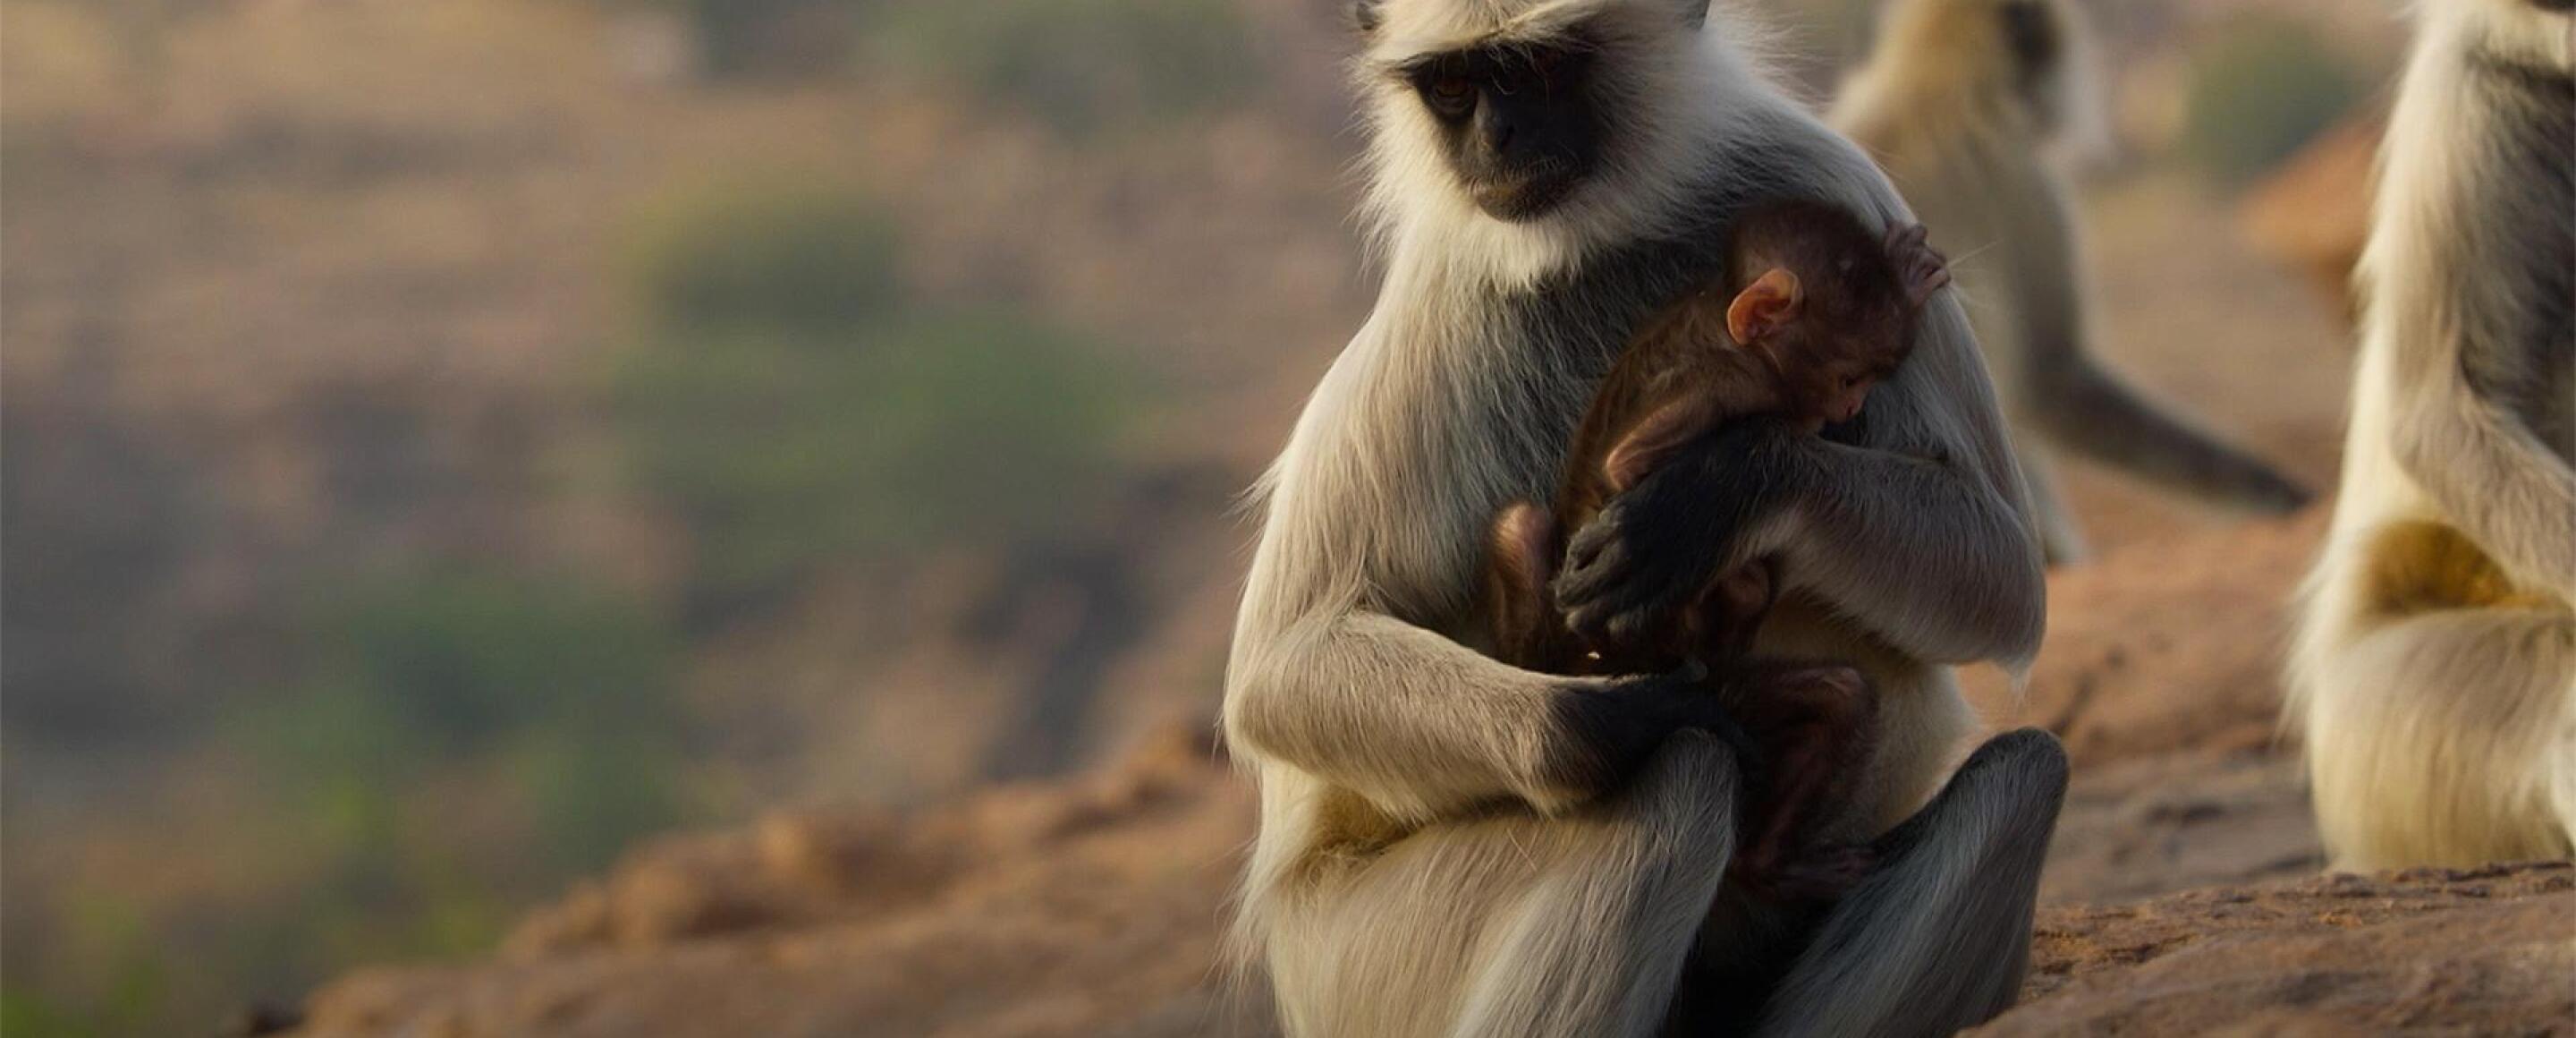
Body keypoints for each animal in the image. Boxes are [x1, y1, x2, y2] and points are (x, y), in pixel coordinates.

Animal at [1480, 200, 1951, 898]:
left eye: (1864, 382)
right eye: (1847, 376)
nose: (1850, 406)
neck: (1726, 324)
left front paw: (1907, 272)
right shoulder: (1726, 385)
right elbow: (1629, 471)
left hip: (1728, 694)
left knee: (1835, 696)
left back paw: (1770, 863)